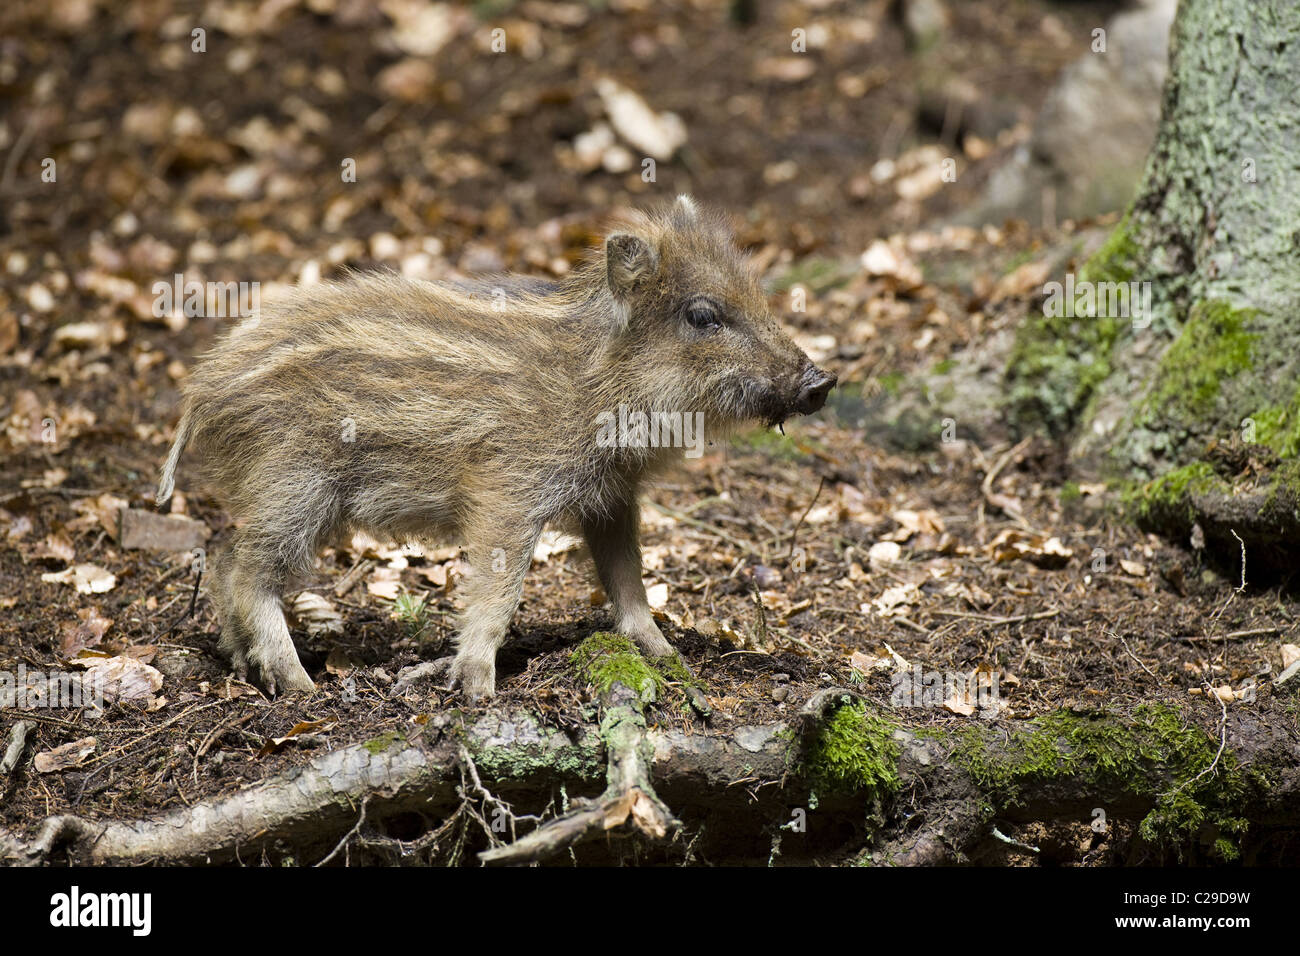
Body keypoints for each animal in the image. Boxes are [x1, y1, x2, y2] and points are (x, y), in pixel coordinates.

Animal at [157, 196, 836, 699]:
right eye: (701, 316)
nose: (821, 382)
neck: (594, 385)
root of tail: (202, 389)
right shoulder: (507, 491)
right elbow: (497, 589)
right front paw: (480, 691)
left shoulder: (612, 497)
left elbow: (628, 580)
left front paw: (668, 655)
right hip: (293, 481)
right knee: (248, 571)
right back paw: (300, 686)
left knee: (224, 560)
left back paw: (243, 666)